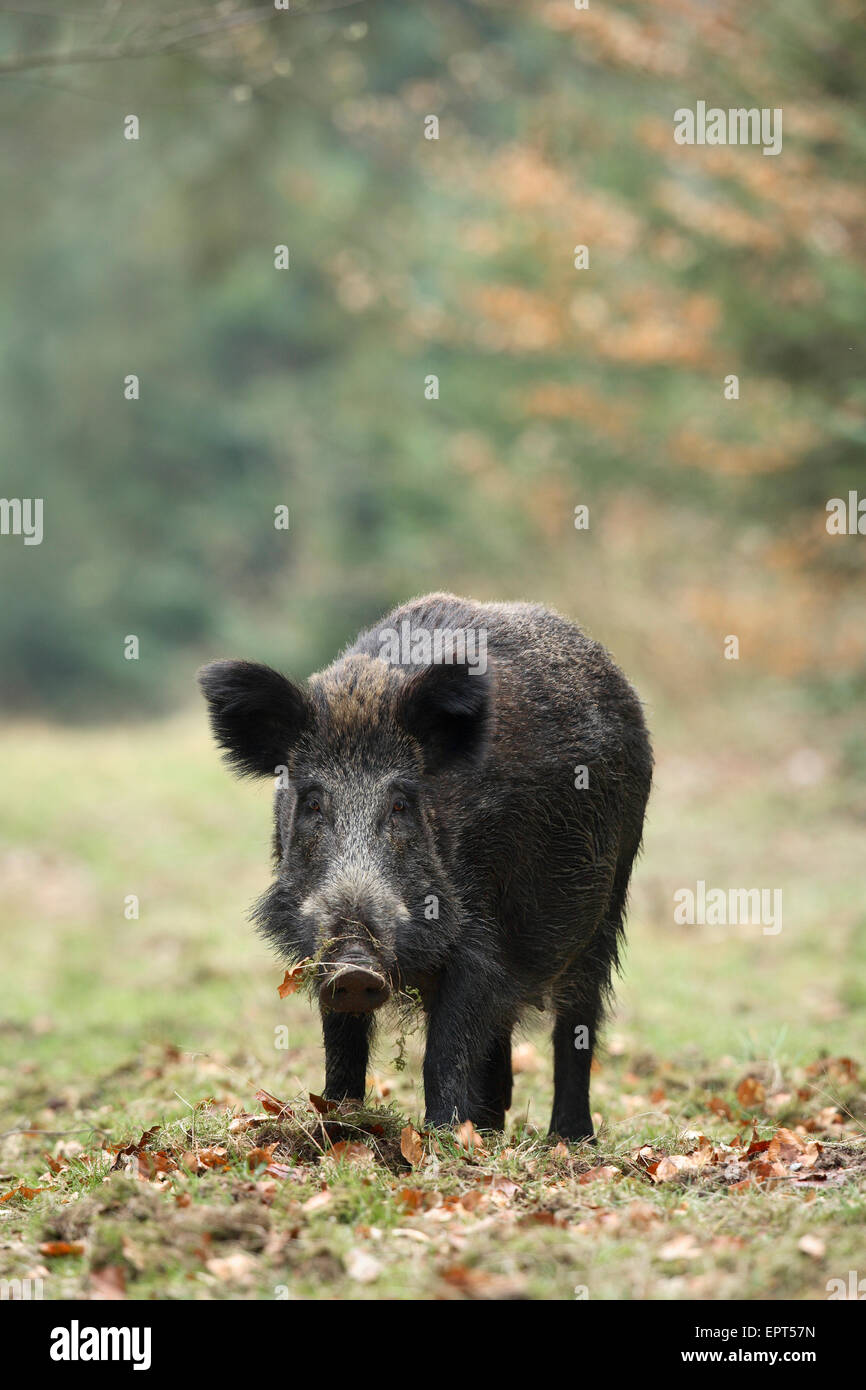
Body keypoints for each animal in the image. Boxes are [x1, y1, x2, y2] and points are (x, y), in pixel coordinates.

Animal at [198, 593, 651, 1140]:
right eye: (312, 803)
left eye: (400, 803)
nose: (355, 965)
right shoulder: (319, 946)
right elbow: (342, 1043)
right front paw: (339, 1122)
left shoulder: (484, 931)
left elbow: (446, 1049)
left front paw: (440, 1137)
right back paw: (492, 1130)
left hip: (607, 906)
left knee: (577, 1021)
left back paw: (568, 1137)